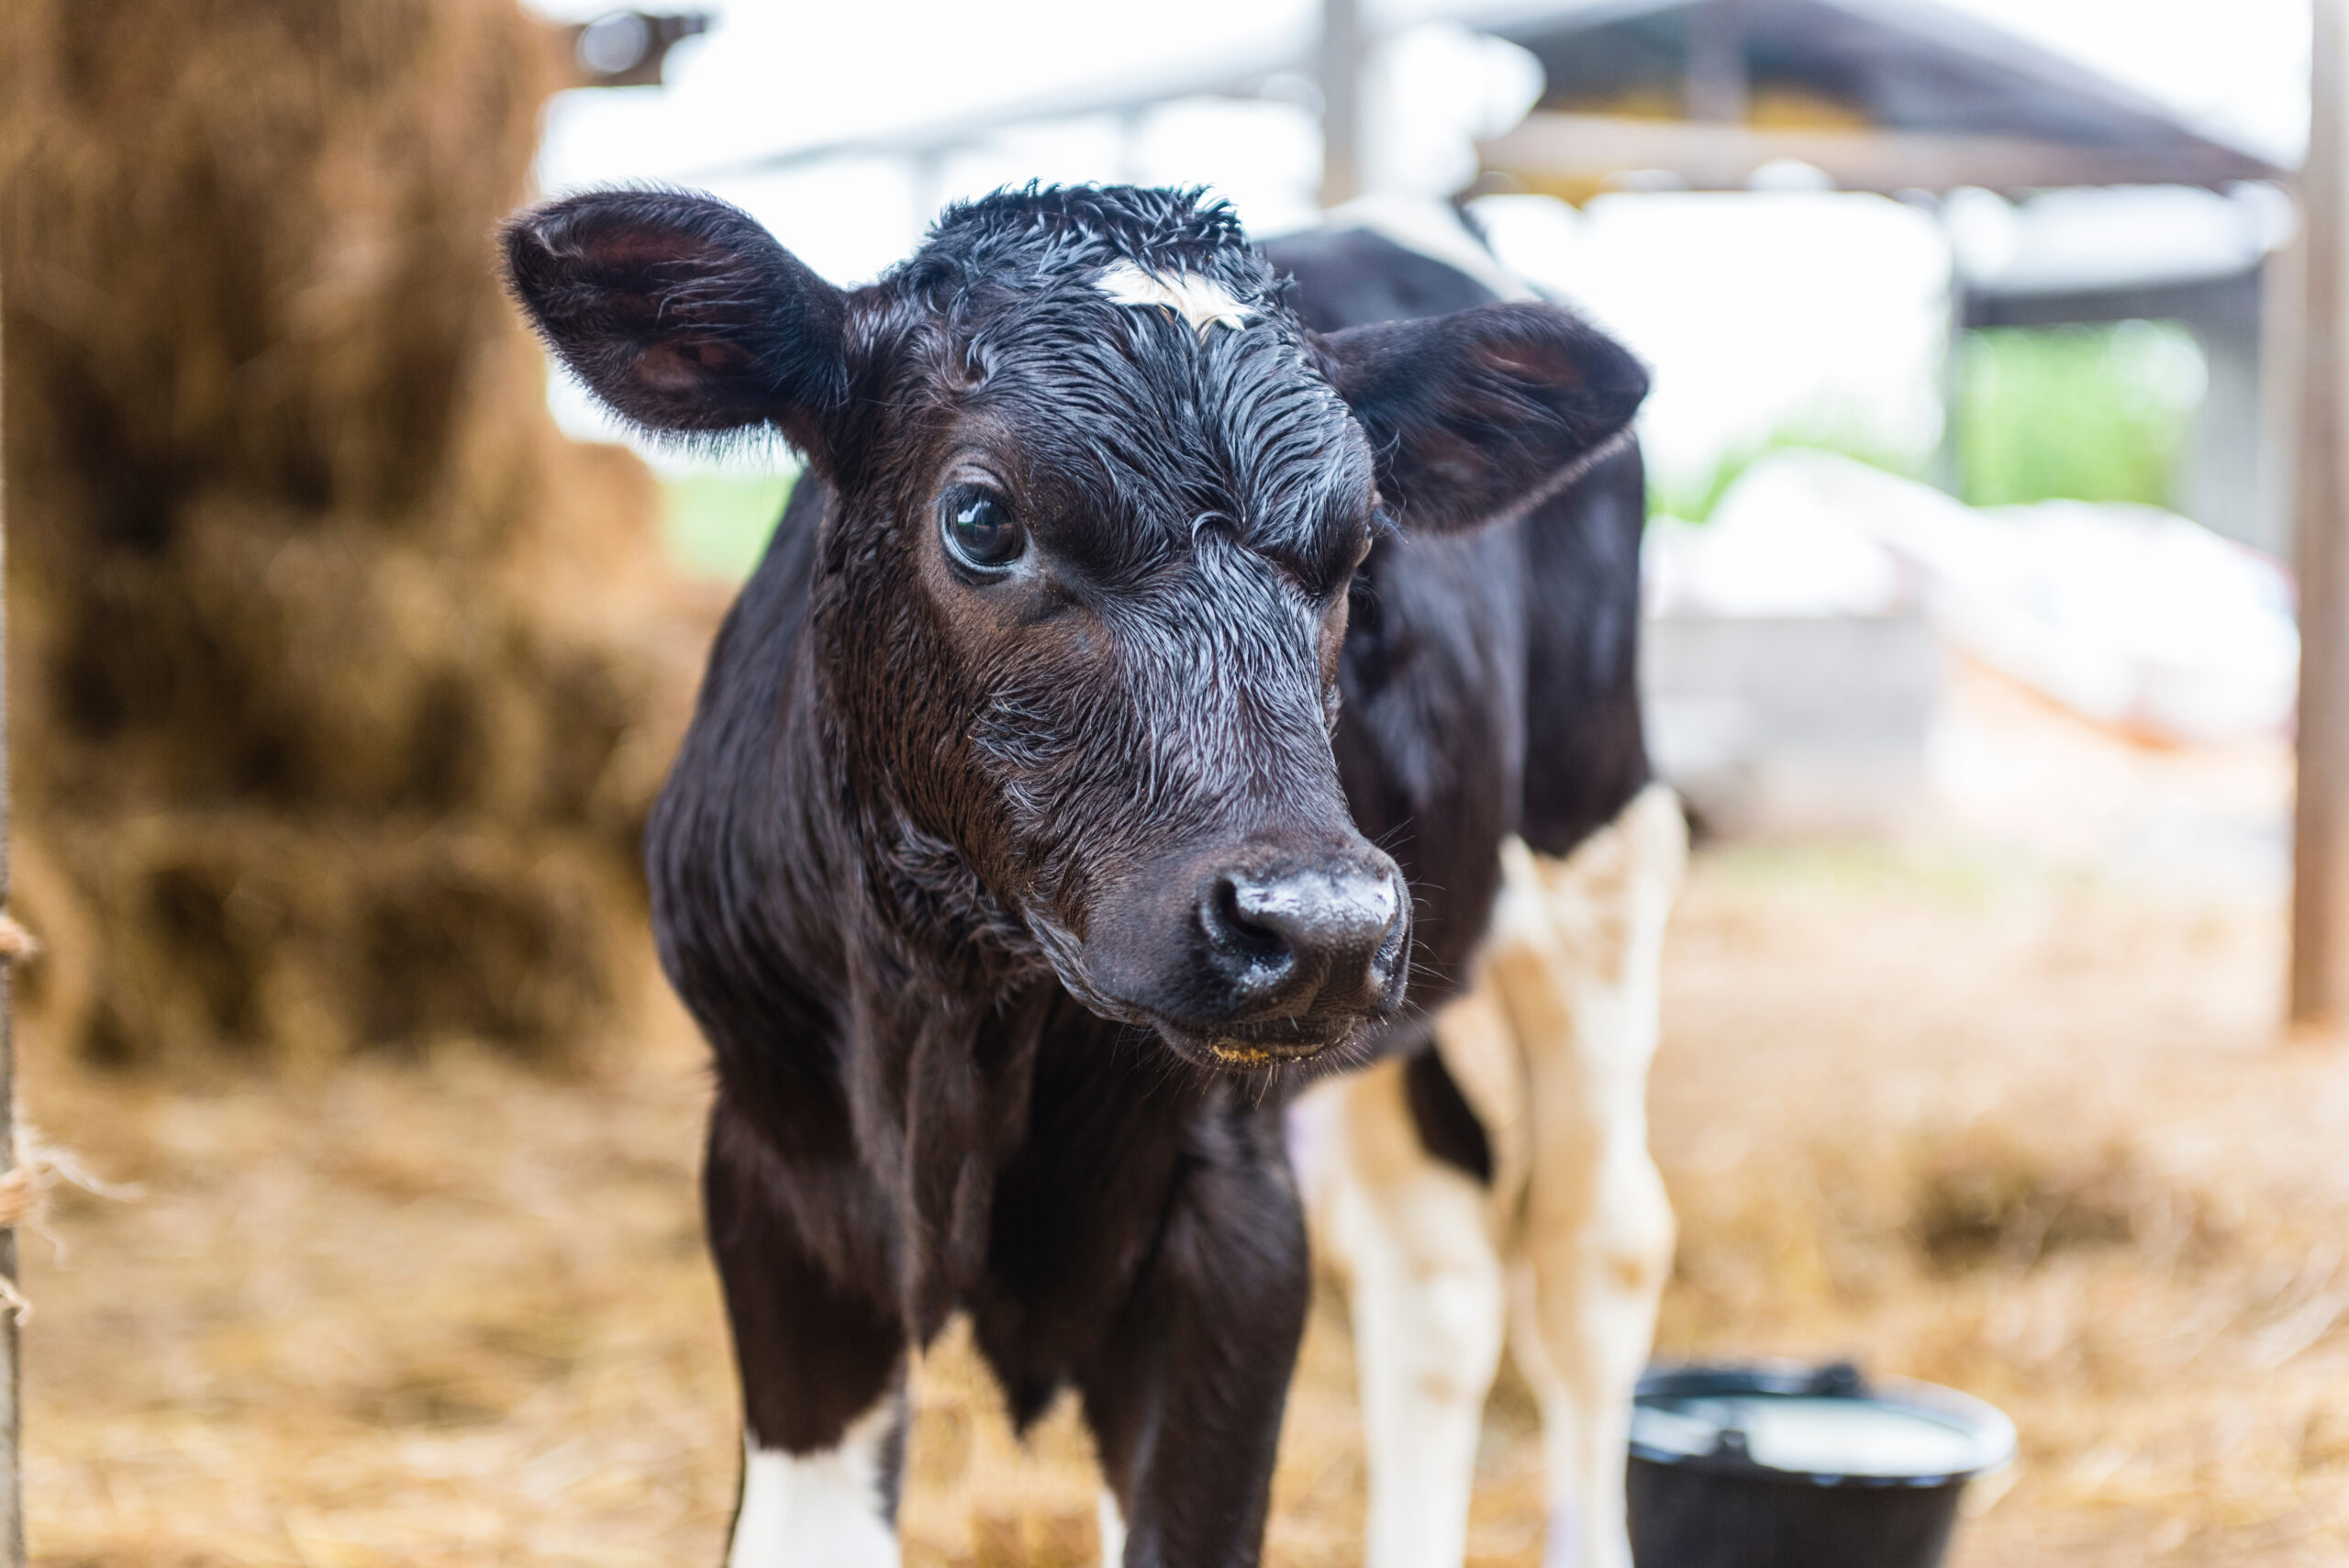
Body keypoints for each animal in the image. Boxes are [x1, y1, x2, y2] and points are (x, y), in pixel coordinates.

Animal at [500, 182, 1670, 1568]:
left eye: (1357, 549)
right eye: (980, 517)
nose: (1318, 923)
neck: (960, 1007)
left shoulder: (1229, 1208)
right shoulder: (774, 1163)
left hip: (1602, 843)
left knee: (1592, 1253)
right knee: (1434, 1260)